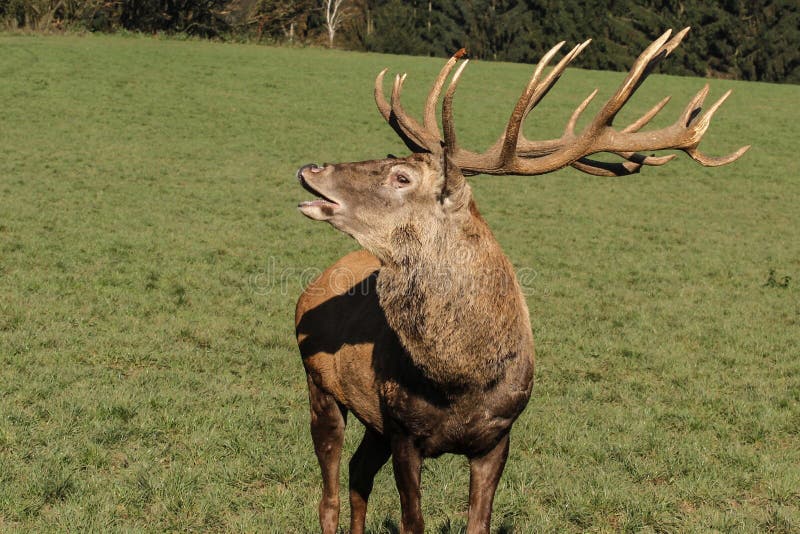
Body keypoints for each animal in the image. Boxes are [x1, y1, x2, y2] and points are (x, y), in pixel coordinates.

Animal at [294, 28, 748, 534]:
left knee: (357, 474)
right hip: (320, 384)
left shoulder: (498, 437)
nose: (310, 168)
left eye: (401, 176)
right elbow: (414, 522)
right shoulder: (404, 432)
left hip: (371, 421)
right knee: (329, 492)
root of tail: (312, 288)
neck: (461, 382)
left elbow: (479, 522)